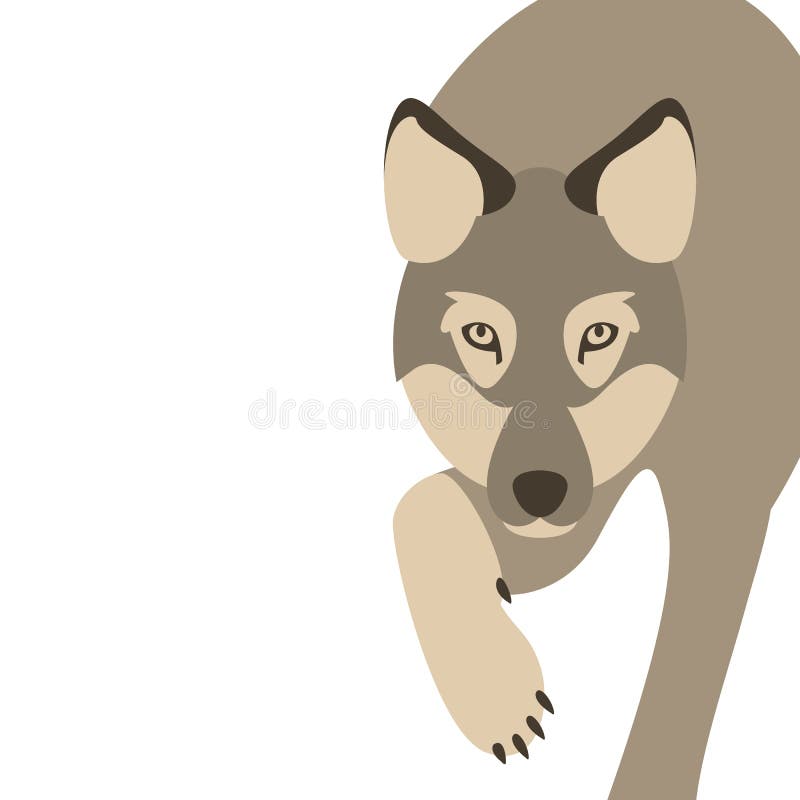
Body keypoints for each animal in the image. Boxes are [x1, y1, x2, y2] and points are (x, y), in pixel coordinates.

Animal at [384, 0, 800, 795]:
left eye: (599, 334)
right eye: (481, 334)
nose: (540, 489)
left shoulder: (723, 502)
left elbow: (684, 671)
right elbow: (418, 503)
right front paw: (500, 700)